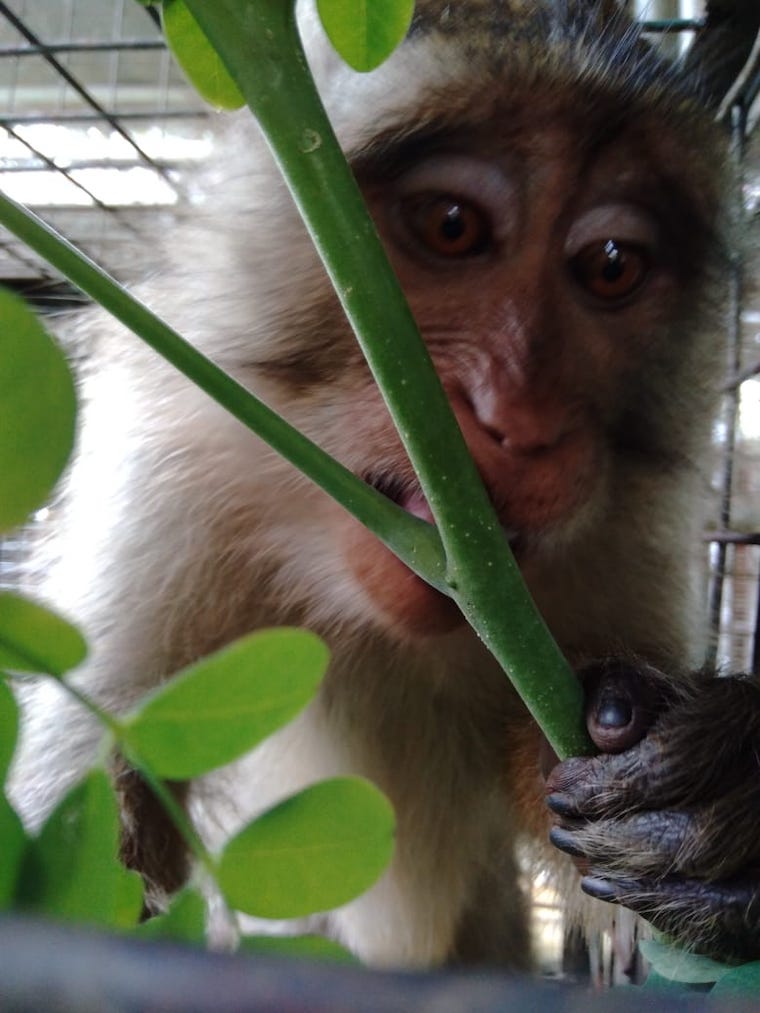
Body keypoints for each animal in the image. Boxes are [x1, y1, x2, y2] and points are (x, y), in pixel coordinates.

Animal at [8, 0, 760, 970]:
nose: (519, 416)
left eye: (611, 265)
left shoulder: (629, 541)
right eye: (452, 225)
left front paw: (726, 786)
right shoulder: (175, 481)